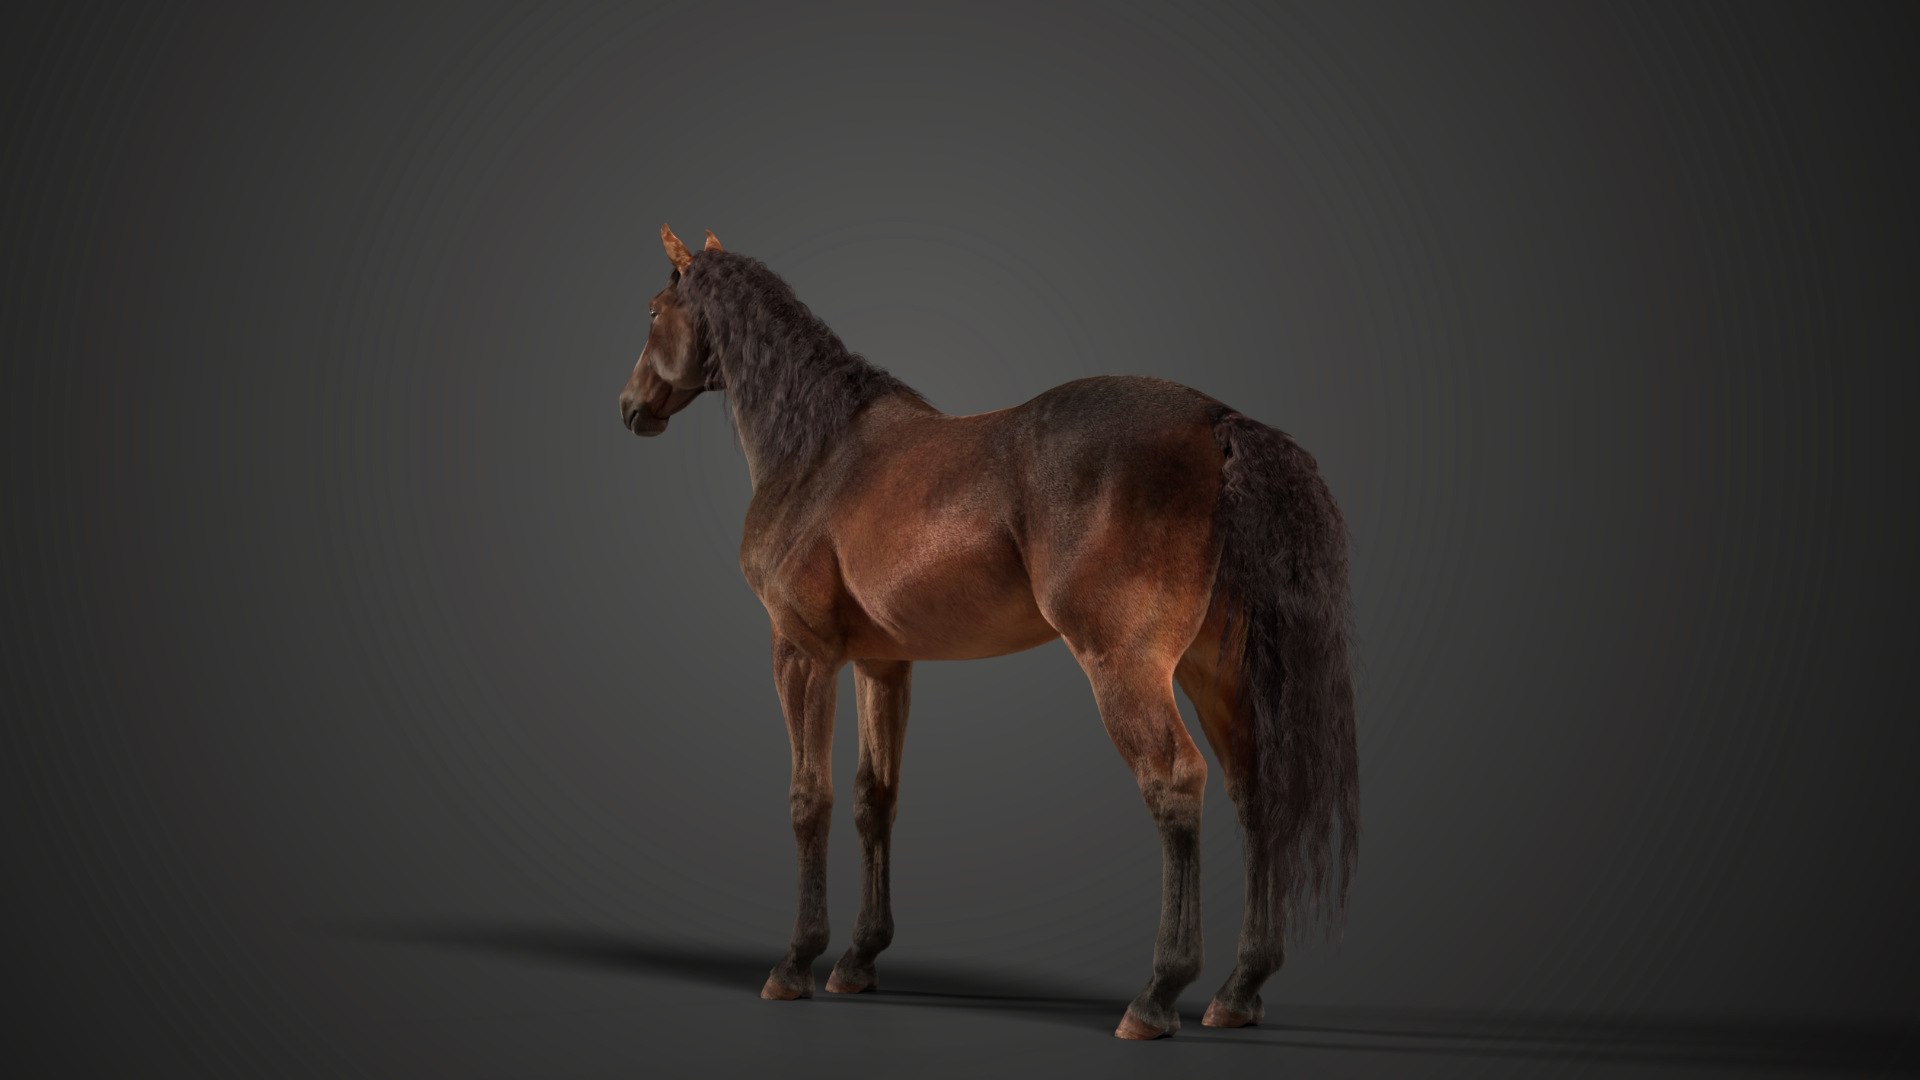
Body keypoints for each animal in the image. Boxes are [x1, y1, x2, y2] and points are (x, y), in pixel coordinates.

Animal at [617, 225, 1358, 1040]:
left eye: (653, 309)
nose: (629, 407)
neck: (818, 454)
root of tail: (1216, 423)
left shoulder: (801, 652)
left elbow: (809, 799)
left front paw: (795, 963)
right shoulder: (883, 665)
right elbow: (875, 797)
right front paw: (858, 960)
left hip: (1127, 669)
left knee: (1174, 781)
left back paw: (1158, 994)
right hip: (1212, 672)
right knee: (1253, 790)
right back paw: (1239, 990)